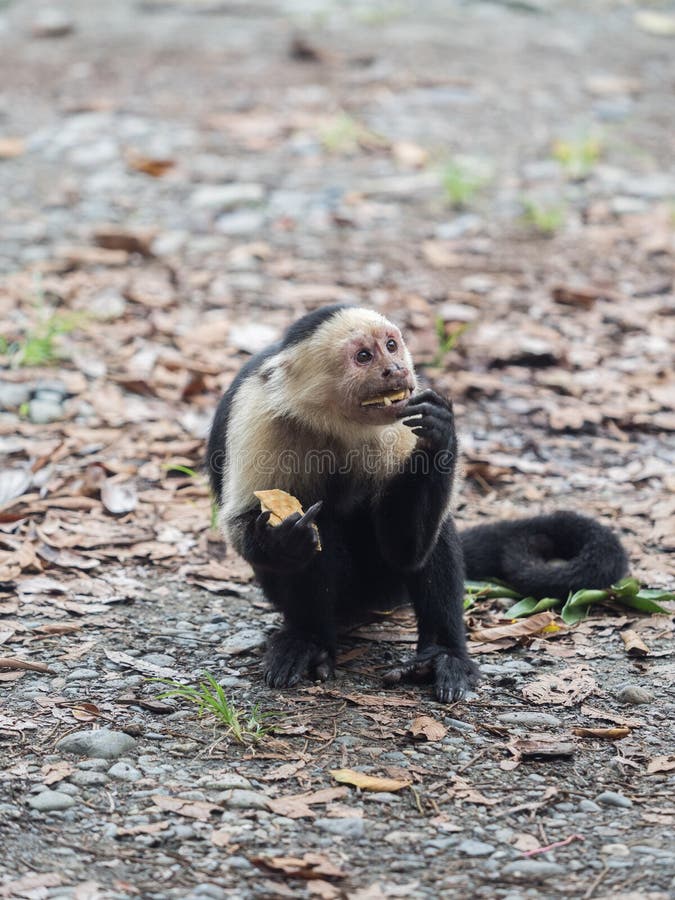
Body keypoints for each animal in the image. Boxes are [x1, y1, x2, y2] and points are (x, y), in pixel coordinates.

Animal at [206, 305, 628, 702]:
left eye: (391, 346)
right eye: (363, 356)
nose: (395, 369)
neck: (331, 420)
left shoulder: (404, 415)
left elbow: (406, 550)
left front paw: (440, 436)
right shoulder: (260, 415)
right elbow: (246, 522)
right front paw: (283, 539)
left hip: (381, 585)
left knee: (432, 536)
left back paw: (440, 656)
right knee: (317, 530)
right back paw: (309, 639)